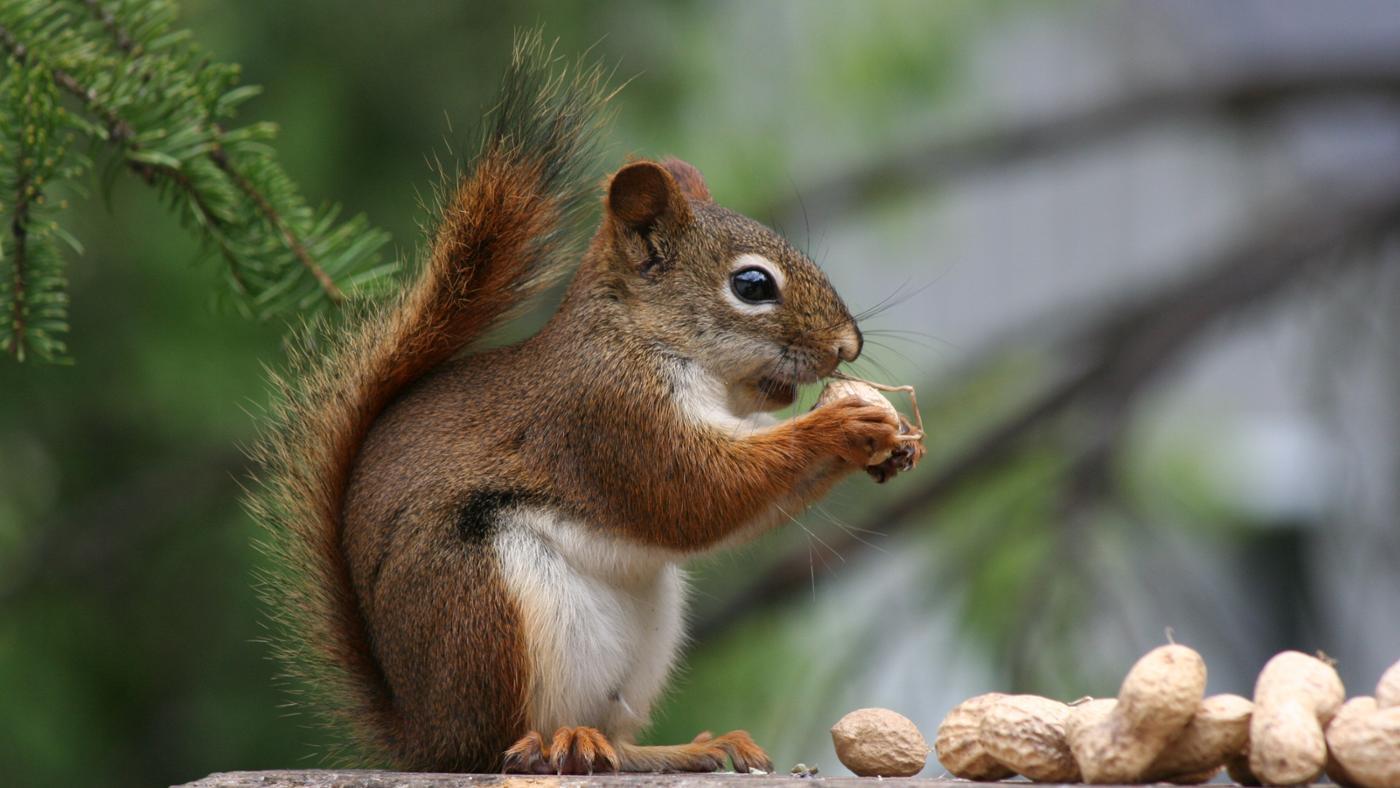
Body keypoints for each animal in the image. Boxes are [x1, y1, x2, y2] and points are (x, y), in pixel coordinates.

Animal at [250, 32, 923, 776]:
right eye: (752, 285)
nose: (848, 345)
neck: (650, 340)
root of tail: (423, 736)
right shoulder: (606, 415)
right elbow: (696, 493)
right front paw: (842, 423)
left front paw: (889, 442)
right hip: (482, 606)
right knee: (495, 747)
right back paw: (548, 746)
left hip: (645, 634)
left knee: (615, 743)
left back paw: (682, 748)